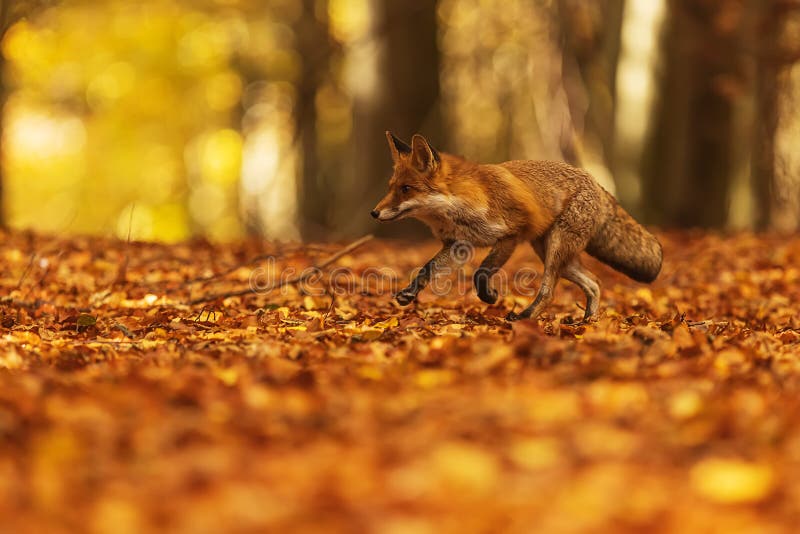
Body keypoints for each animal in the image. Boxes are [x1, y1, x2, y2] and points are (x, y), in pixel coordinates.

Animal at [370, 131, 663, 322]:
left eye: (406, 189)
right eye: (390, 188)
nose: (374, 212)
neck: (457, 207)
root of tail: (597, 183)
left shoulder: (510, 235)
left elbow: (481, 272)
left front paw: (489, 296)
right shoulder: (459, 245)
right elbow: (427, 268)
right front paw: (409, 294)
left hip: (555, 250)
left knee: (549, 292)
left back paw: (525, 317)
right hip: (550, 252)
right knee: (595, 283)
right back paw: (587, 322)